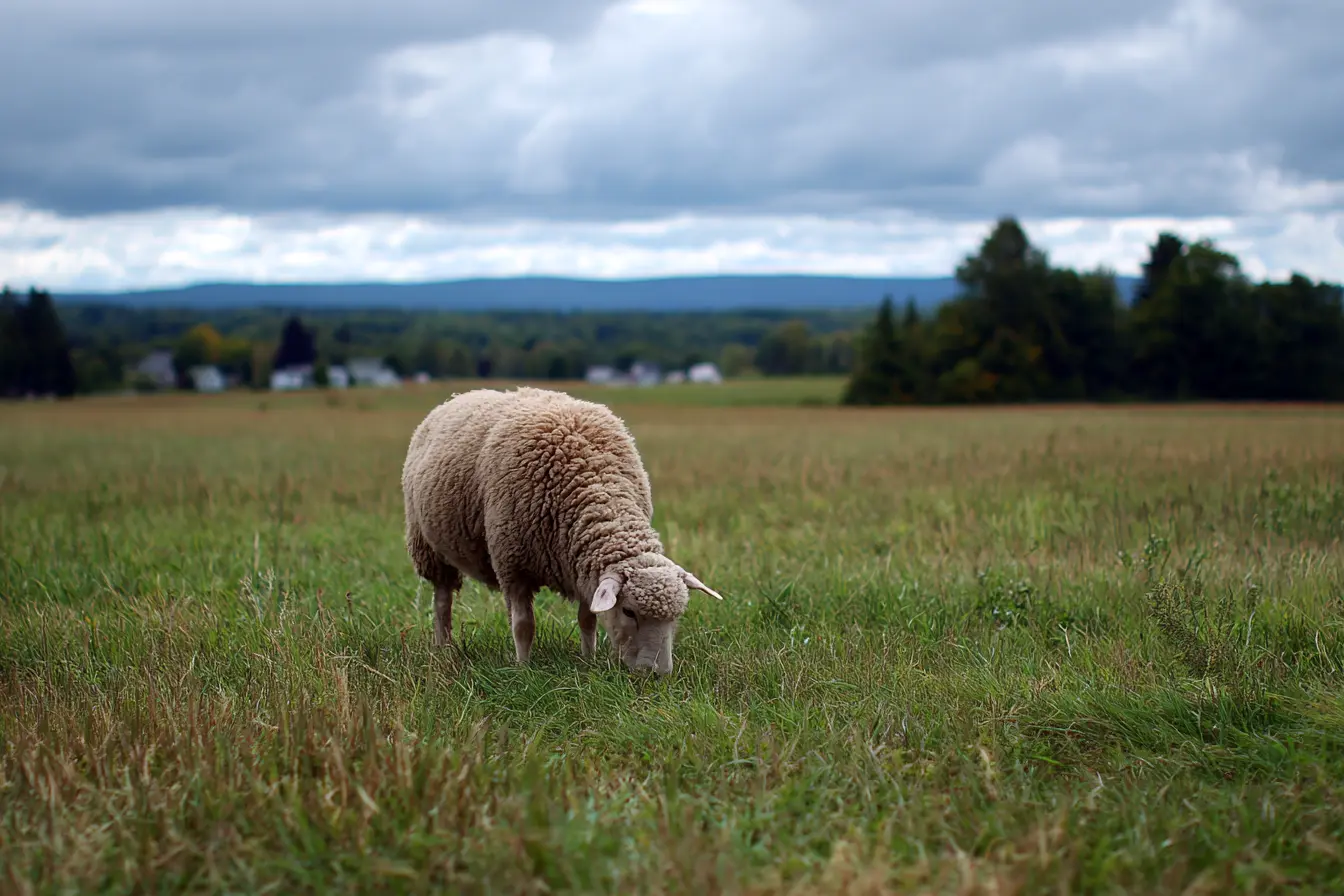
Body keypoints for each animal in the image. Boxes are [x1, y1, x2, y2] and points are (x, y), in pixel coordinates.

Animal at [401, 386, 723, 674]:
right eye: (628, 611)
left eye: (678, 616)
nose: (658, 673)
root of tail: (459, 396)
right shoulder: (512, 565)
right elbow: (523, 626)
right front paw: (523, 668)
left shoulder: (581, 566)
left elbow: (587, 619)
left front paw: (588, 659)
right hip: (428, 546)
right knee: (442, 600)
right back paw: (443, 646)